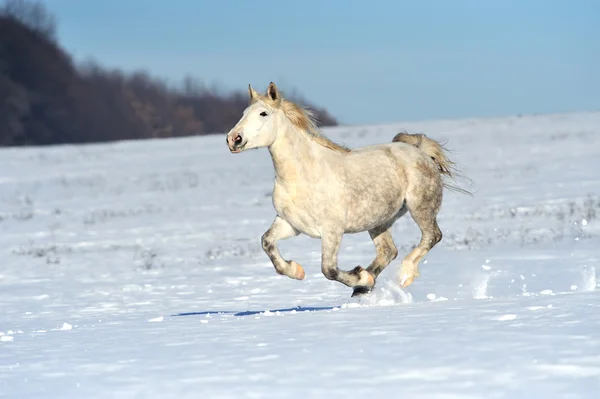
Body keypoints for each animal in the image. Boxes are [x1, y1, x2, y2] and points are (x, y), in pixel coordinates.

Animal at [226, 82, 468, 296]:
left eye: (263, 113)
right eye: (244, 112)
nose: (233, 139)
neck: (303, 175)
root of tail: (421, 152)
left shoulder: (332, 230)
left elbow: (329, 269)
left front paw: (360, 277)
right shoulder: (290, 223)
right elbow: (267, 243)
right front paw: (297, 271)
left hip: (420, 207)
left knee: (432, 236)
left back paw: (403, 275)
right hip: (379, 220)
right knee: (388, 250)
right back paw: (364, 287)